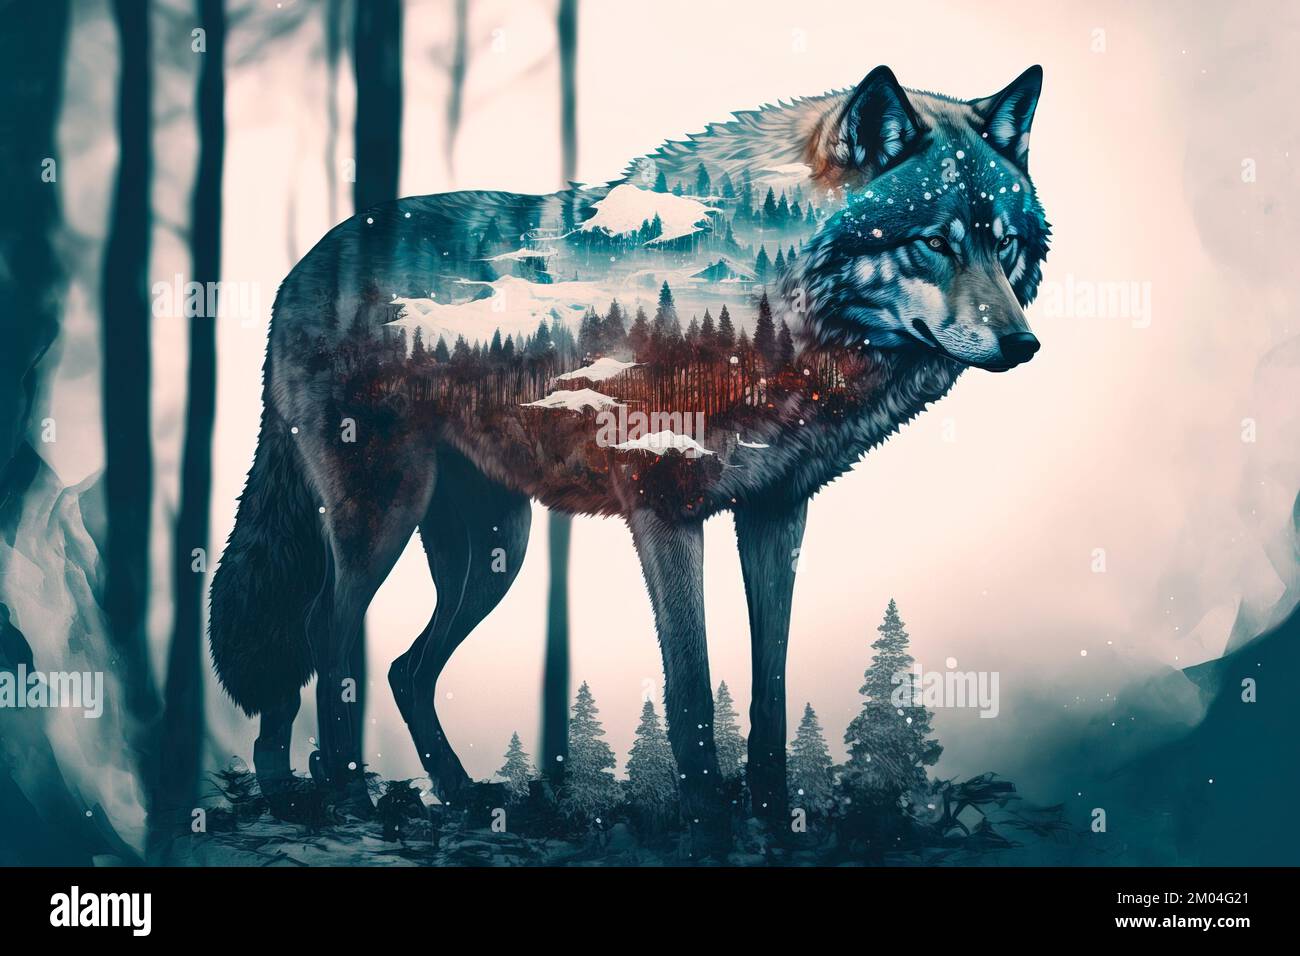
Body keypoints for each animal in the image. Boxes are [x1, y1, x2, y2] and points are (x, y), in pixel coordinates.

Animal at [209, 64, 1049, 853]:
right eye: (935, 242)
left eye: (1003, 242)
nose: (1023, 344)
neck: (768, 304)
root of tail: (296, 269)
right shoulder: (665, 512)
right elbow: (691, 694)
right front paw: (708, 832)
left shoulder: (776, 513)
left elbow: (770, 687)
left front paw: (775, 824)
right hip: (385, 518)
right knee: (326, 630)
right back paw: (339, 796)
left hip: (497, 553)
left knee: (402, 668)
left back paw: (422, 795)